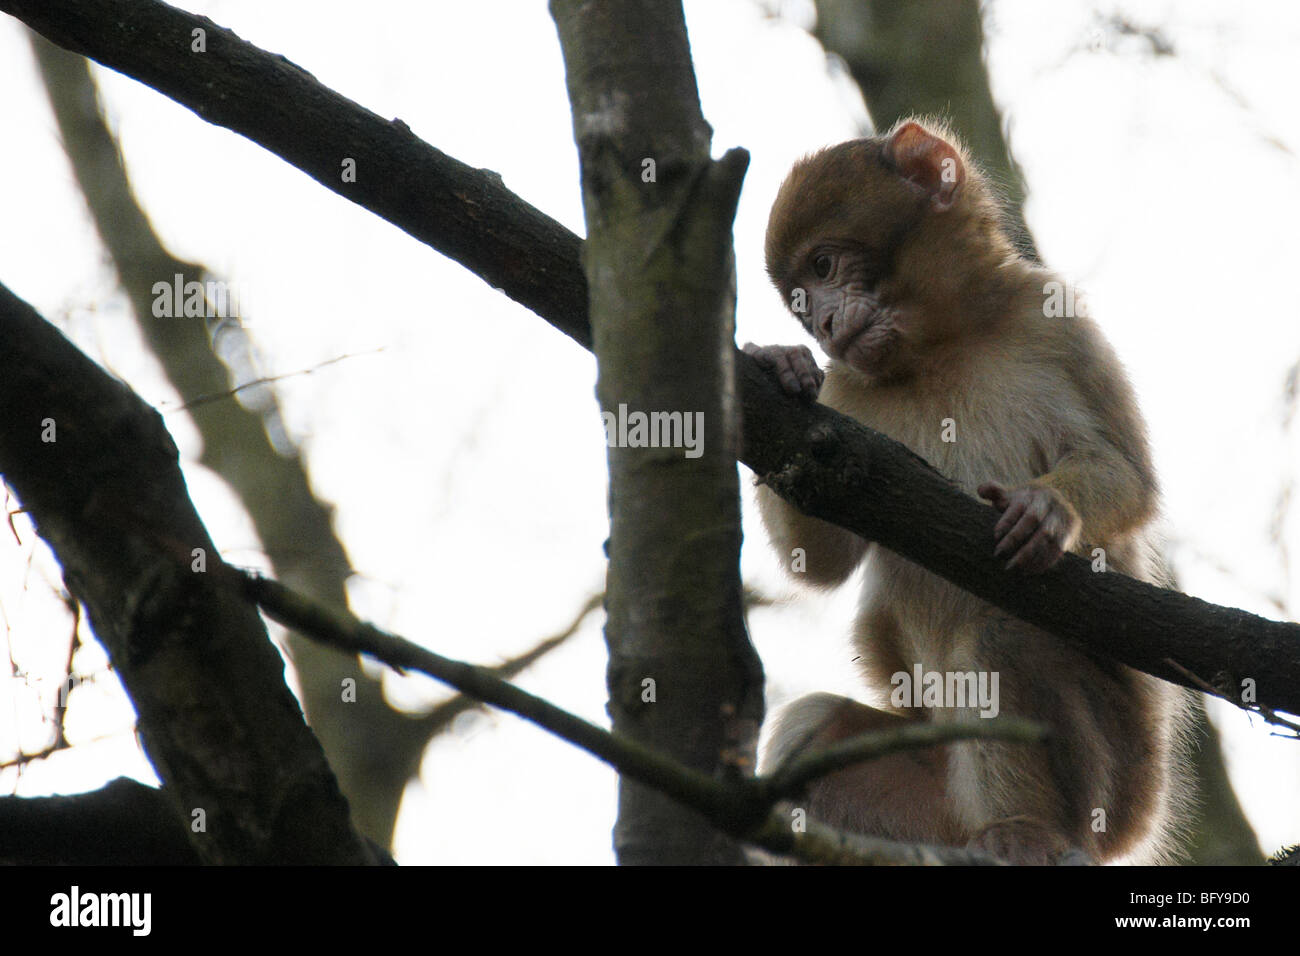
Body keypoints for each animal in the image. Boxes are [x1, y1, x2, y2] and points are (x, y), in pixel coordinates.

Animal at [747, 118, 1189, 865]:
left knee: (1001, 634)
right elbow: (822, 550)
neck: (942, 345)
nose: (826, 327)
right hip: (927, 801)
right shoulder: (847, 390)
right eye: (804, 307)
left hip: (1117, 779)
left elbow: (1130, 481)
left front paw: (1050, 510)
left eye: (824, 266)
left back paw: (1026, 828)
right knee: (813, 723)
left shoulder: (1054, 316)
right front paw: (779, 367)